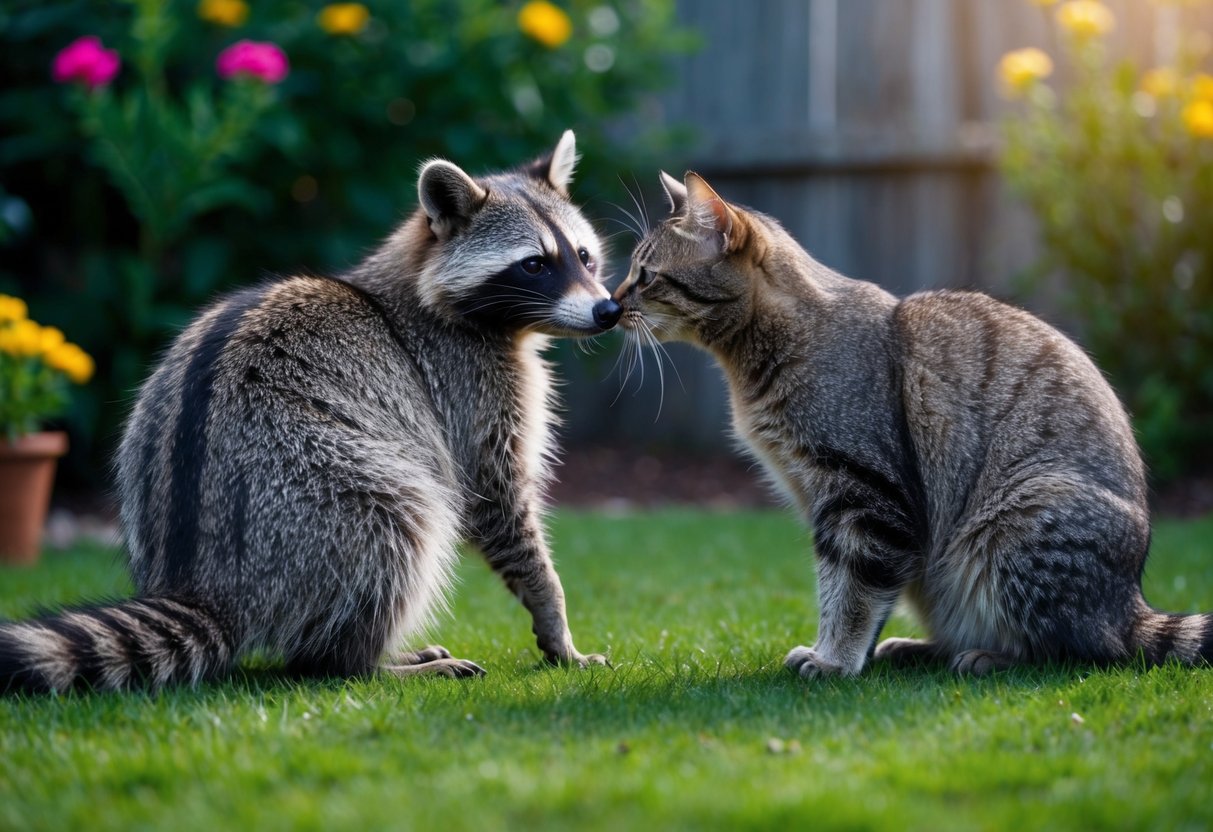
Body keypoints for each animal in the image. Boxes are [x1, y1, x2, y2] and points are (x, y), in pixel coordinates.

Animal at [0, 131, 621, 694]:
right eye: (535, 264)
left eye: (583, 256)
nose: (608, 310)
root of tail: (205, 585)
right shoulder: (467, 386)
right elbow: (497, 501)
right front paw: (555, 621)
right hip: (322, 497)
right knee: (400, 520)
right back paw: (360, 662)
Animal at [613, 169, 1211, 676]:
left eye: (646, 276)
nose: (613, 304)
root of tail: (1129, 606)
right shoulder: (827, 504)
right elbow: (836, 586)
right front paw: (837, 650)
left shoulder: (866, 499)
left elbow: (853, 590)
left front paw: (836, 659)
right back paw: (917, 648)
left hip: (1020, 518)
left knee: (1080, 649)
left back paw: (989, 657)